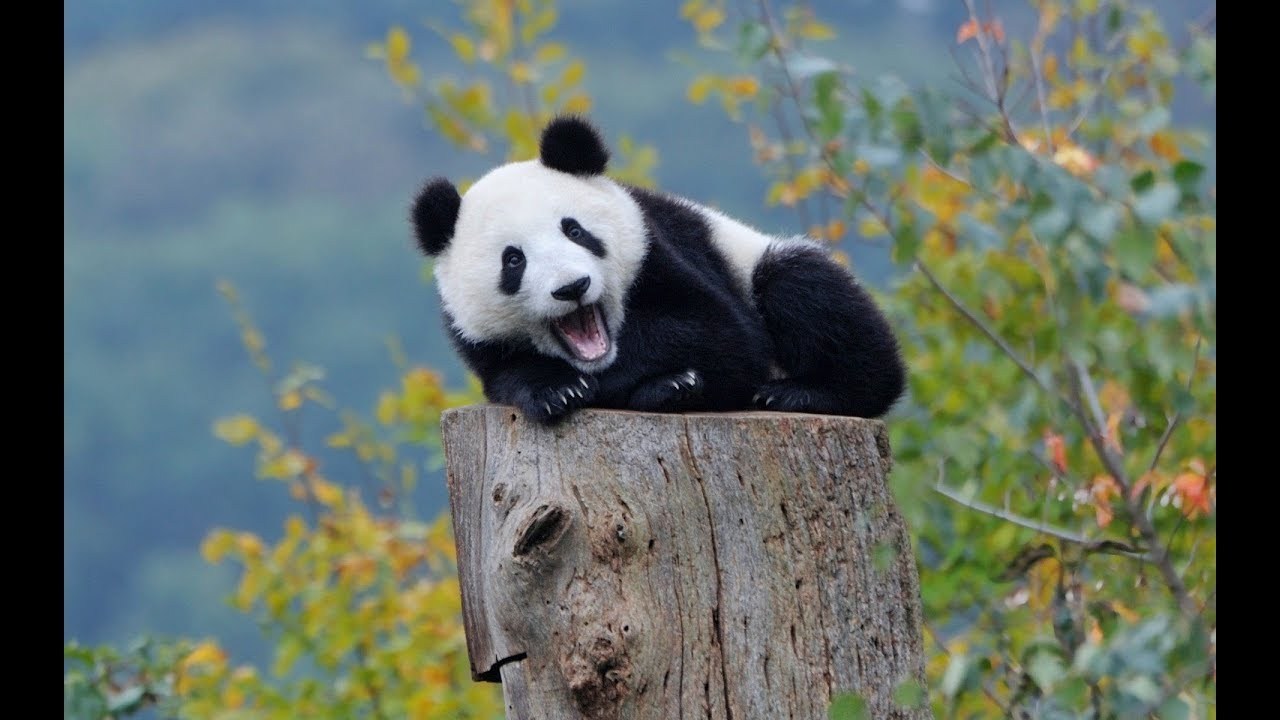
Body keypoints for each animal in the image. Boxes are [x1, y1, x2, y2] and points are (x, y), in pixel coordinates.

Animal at [412, 115, 906, 426]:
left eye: (575, 230)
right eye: (514, 259)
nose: (572, 287)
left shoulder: (662, 250)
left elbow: (720, 333)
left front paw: (645, 380)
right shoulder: (476, 338)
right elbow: (507, 376)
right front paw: (557, 392)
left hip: (756, 262)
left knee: (805, 290)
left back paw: (799, 393)